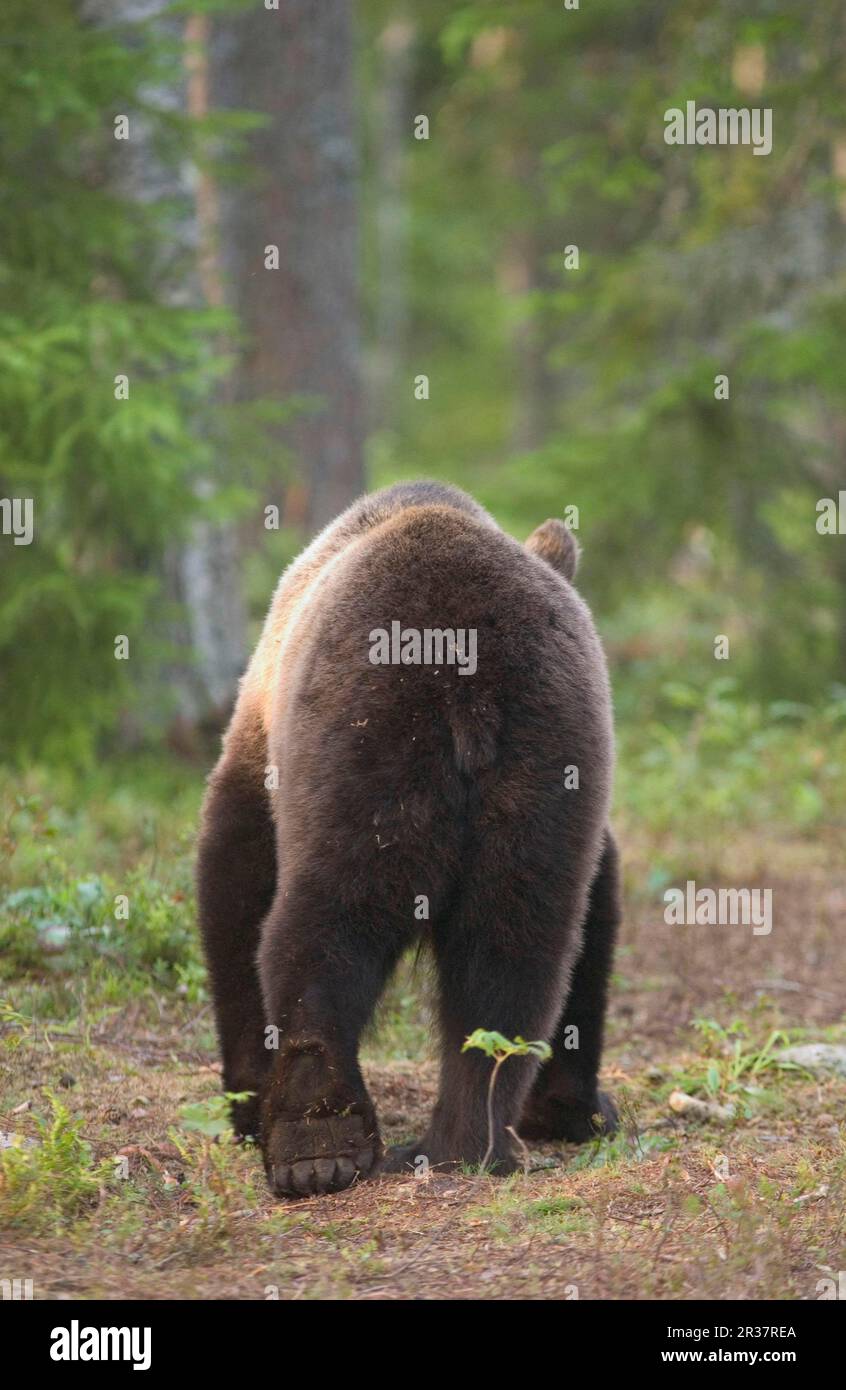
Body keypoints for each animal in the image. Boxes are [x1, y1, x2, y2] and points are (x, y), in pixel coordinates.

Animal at [196, 481, 620, 1196]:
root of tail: (470, 687)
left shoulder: (264, 754)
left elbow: (234, 880)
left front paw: (248, 1103)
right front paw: (577, 1109)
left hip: (368, 744)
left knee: (324, 924)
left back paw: (316, 1148)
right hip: (540, 762)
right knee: (516, 947)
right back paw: (470, 1137)